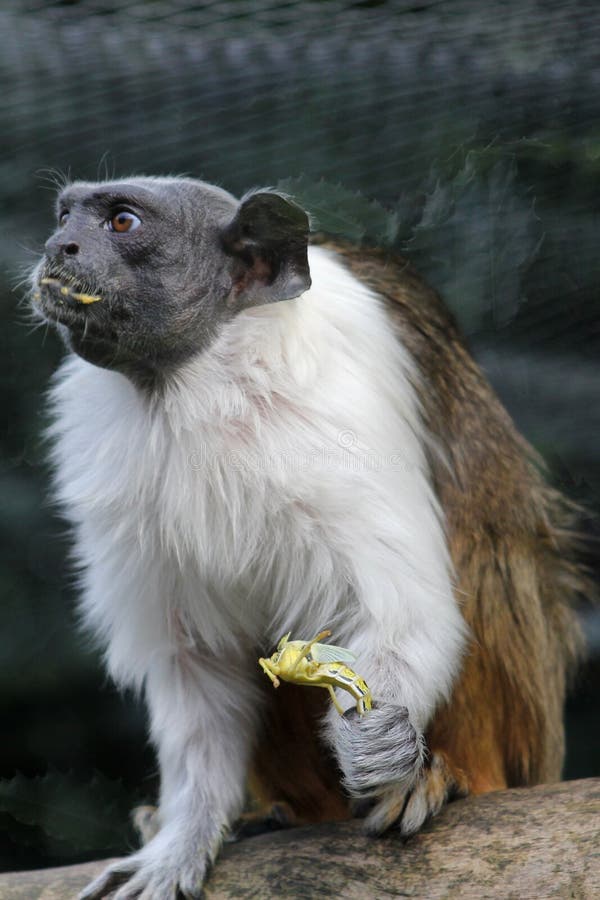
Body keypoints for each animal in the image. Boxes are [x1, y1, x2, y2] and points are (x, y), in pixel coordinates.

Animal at [28, 177, 585, 899]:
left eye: (123, 223)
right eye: (65, 216)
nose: (57, 246)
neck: (193, 381)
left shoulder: (334, 416)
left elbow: (405, 614)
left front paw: (376, 741)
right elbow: (195, 661)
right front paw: (185, 835)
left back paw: (452, 776)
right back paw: (274, 815)